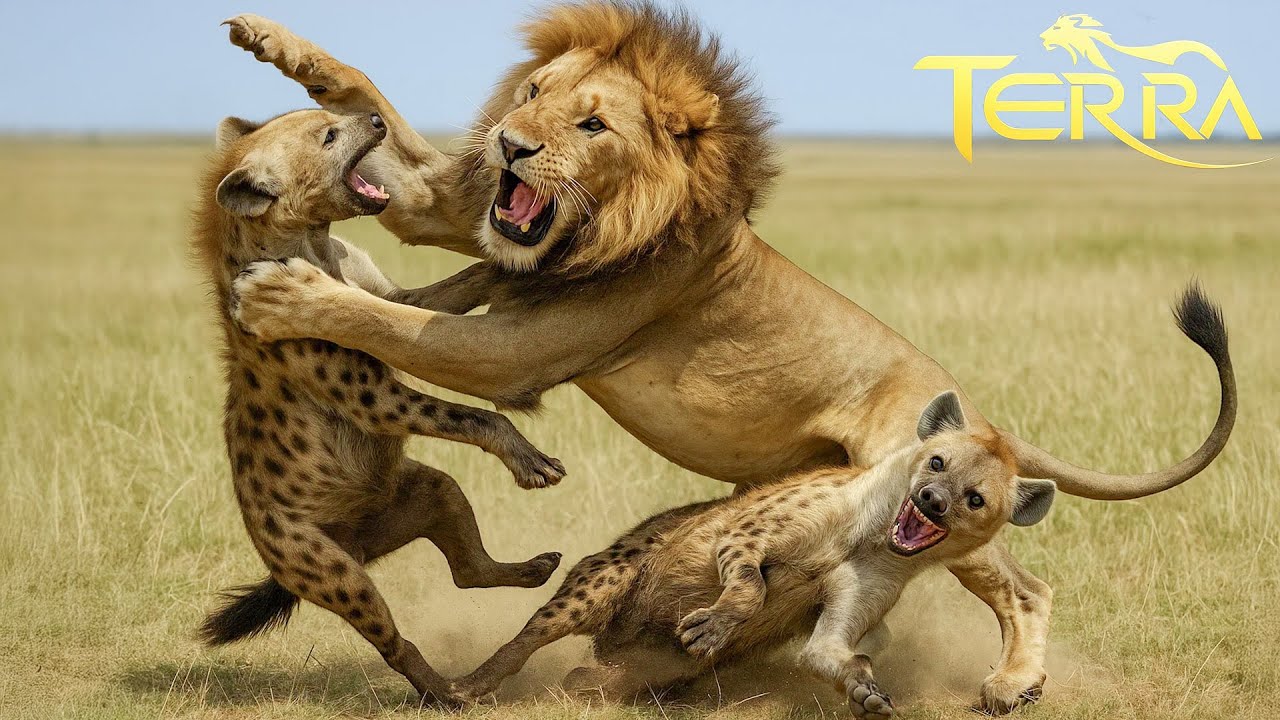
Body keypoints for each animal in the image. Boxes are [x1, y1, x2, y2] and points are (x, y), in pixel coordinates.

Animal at [221, 5, 1237, 712]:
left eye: (593, 127)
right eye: (532, 97)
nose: (510, 146)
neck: (603, 222)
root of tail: (972, 408)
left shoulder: (521, 351)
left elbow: (390, 324)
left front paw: (283, 295)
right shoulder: (453, 207)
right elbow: (370, 104)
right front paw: (274, 44)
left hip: (930, 511)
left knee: (1027, 582)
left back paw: (1013, 682)